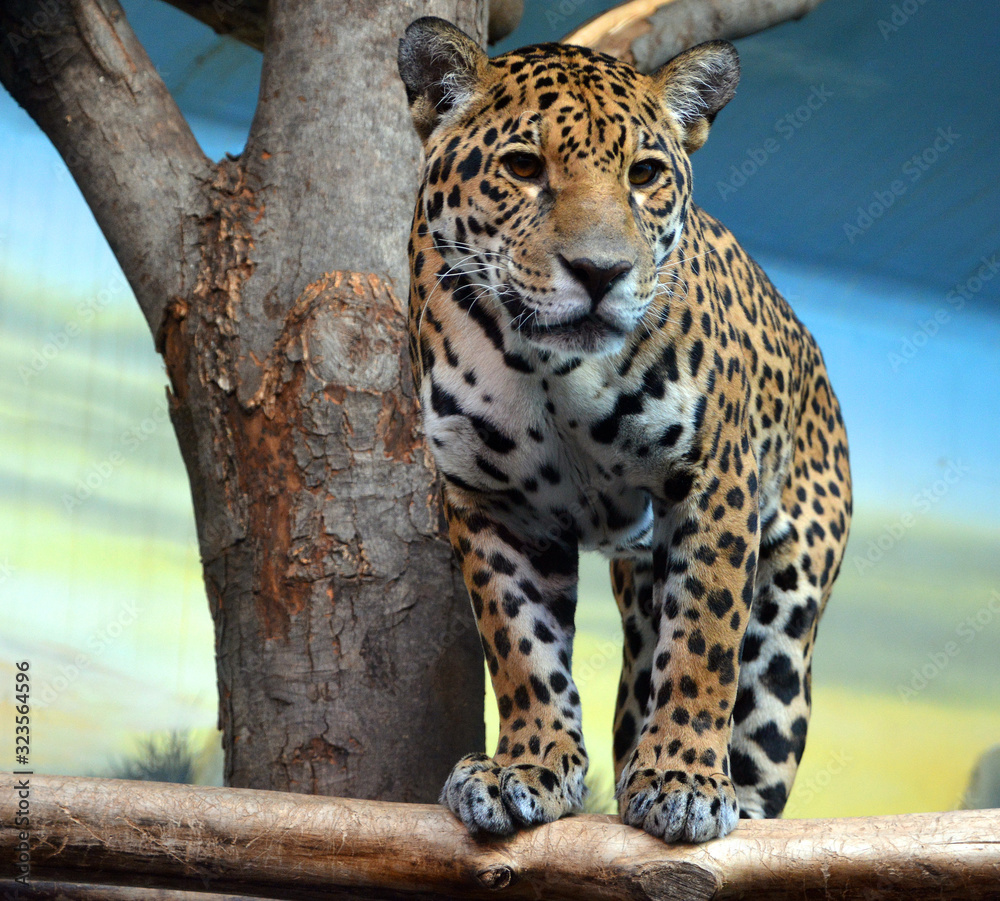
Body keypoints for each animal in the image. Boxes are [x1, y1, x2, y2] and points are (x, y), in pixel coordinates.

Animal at [397, 16, 851, 844]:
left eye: (644, 174)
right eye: (523, 166)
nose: (599, 272)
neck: (546, 367)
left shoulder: (715, 481)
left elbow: (704, 636)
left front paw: (684, 779)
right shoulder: (490, 499)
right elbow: (519, 642)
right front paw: (526, 765)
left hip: (788, 616)